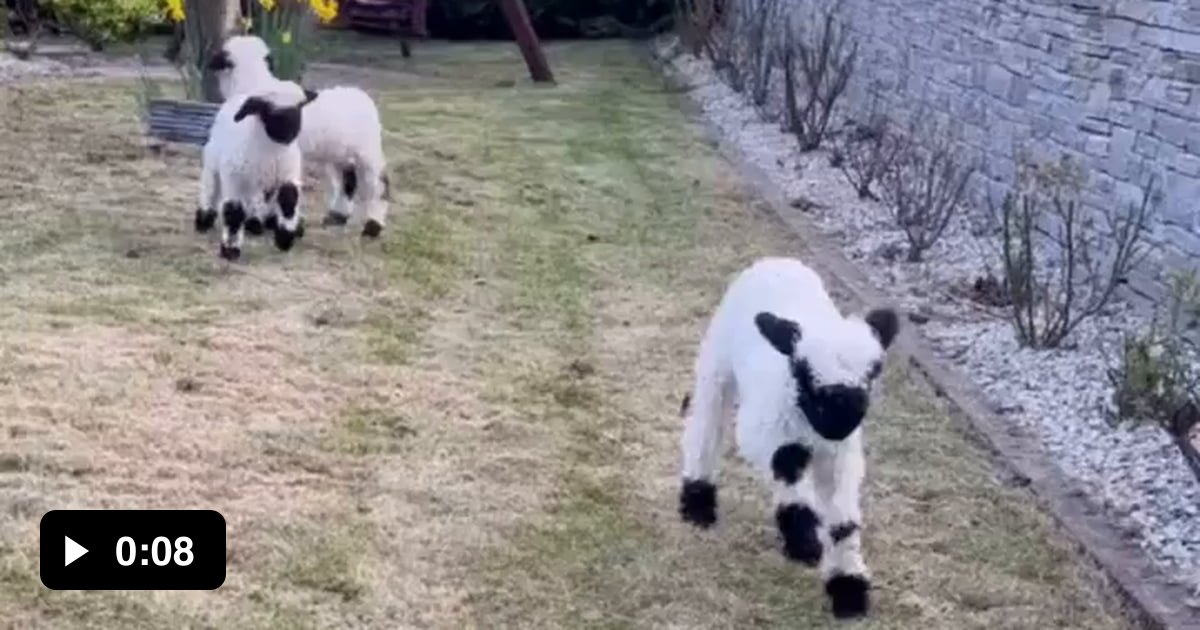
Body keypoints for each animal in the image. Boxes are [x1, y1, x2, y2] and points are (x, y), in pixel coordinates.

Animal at [194, 81, 318, 261]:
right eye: (270, 111)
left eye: (300, 107)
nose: (290, 134)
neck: (273, 152)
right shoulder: (235, 178)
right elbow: (234, 211)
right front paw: (230, 249)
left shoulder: (287, 175)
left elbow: (288, 201)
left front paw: (285, 239)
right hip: (214, 164)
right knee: (210, 190)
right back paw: (204, 219)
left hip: (256, 182)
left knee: (255, 201)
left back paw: (256, 223)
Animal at [207, 35, 391, 238]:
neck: (252, 82)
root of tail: (362, 95)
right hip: (340, 154)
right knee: (347, 178)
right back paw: (338, 215)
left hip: (367, 151)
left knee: (379, 185)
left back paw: (373, 225)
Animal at [678, 256, 900, 620]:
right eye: (803, 371)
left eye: (873, 372)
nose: (840, 423)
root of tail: (776, 262)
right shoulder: (762, 428)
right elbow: (786, 464)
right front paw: (804, 539)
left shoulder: (841, 457)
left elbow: (843, 523)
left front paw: (849, 591)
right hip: (718, 361)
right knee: (706, 423)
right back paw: (698, 503)